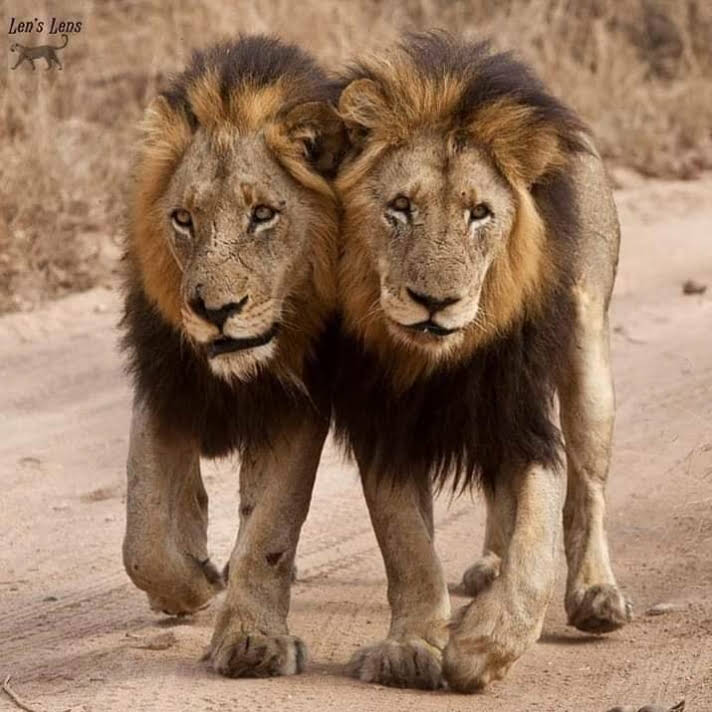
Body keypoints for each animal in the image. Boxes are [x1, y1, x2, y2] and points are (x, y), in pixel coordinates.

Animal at [120, 35, 344, 678]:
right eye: (183, 219)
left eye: (263, 214)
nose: (217, 310)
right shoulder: (164, 383)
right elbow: (144, 535)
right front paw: (190, 585)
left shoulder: (299, 408)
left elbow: (269, 529)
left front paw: (251, 641)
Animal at [331, 33, 631, 692]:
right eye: (400, 207)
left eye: (480, 213)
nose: (434, 301)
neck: (440, 361)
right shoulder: (384, 424)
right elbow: (407, 546)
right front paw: (410, 646)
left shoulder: (524, 416)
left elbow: (537, 540)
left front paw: (484, 646)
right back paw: (489, 566)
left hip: (587, 353)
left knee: (589, 488)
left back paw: (596, 594)